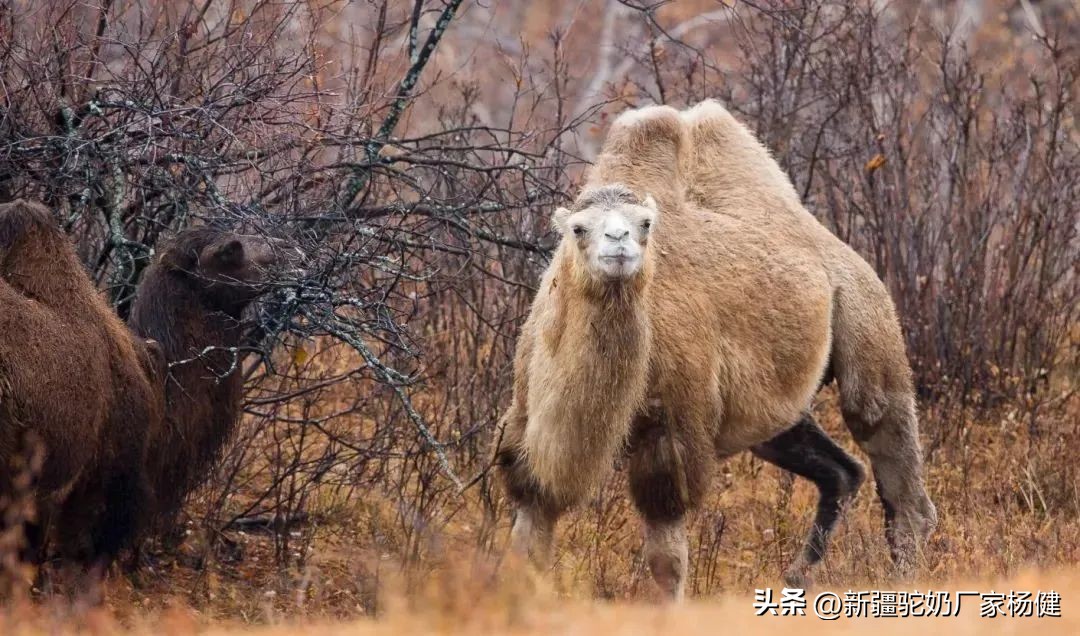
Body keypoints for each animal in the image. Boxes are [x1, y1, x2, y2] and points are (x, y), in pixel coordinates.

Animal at [496, 103, 936, 600]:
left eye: (645, 224)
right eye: (578, 228)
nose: (619, 243)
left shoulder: (672, 430)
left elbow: (667, 559)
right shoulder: (526, 437)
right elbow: (527, 544)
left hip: (869, 319)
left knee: (887, 441)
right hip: (775, 413)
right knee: (840, 470)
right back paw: (797, 575)